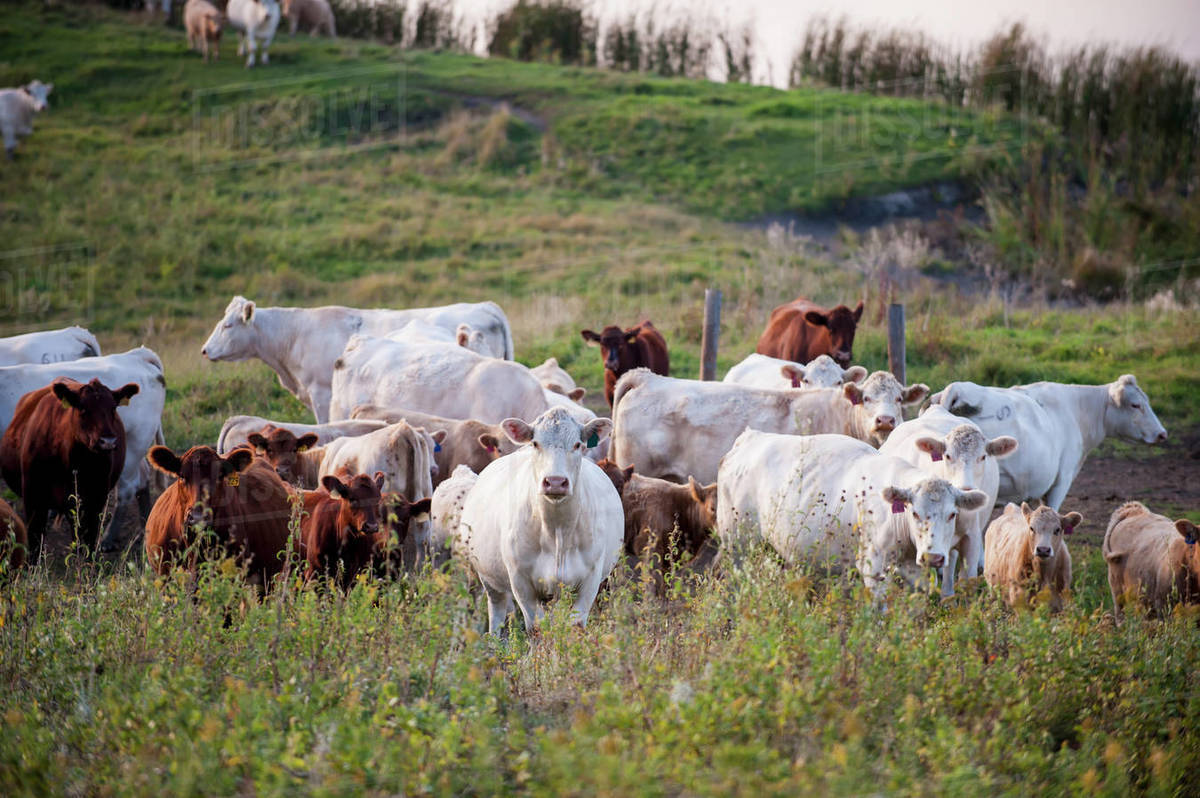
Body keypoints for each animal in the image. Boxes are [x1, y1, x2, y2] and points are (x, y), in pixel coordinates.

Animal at [1, 379, 139, 560]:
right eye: (83, 408)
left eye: (113, 408)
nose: (107, 441)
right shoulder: (33, 498)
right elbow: (35, 542)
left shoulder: (96, 500)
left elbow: (89, 542)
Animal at [459, 408, 620, 635]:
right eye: (535, 443)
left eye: (577, 444)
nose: (555, 482)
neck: (557, 531)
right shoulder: (520, 581)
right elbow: (537, 628)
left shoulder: (591, 578)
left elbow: (574, 626)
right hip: (489, 579)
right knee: (497, 612)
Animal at [717, 430, 987, 598]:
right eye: (915, 513)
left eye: (952, 514)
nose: (933, 557)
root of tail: (751, 437)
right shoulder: (873, 567)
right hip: (737, 544)